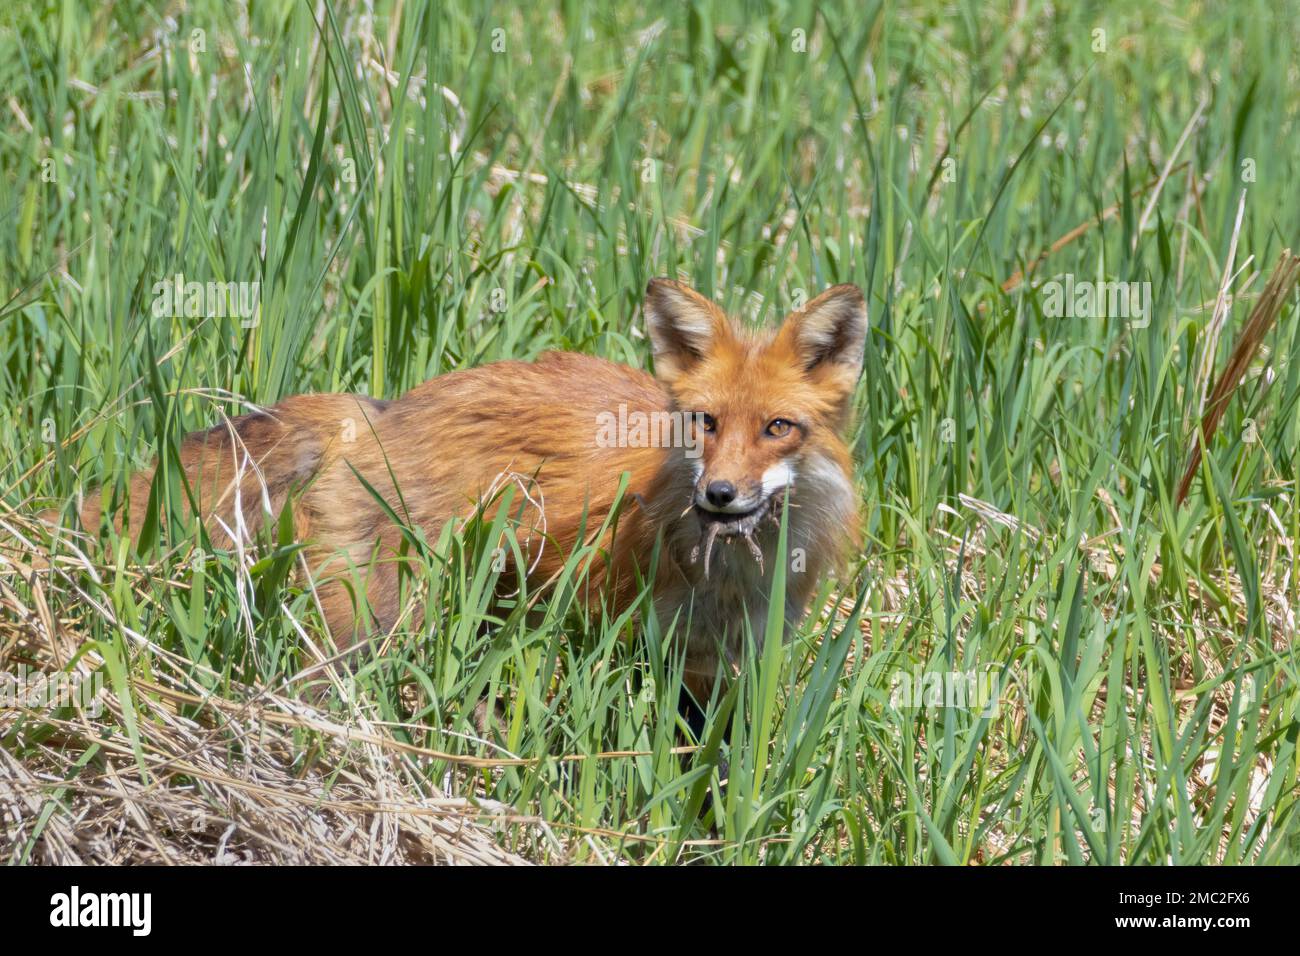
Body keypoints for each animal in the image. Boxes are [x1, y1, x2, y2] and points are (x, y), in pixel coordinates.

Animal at [68, 279, 865, 707]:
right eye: (705, 422)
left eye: (778, 428)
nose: (720, 495)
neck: (730, 576)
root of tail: (380, 408)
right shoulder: (632, 637)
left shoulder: (727, 667)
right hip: (372, 620)